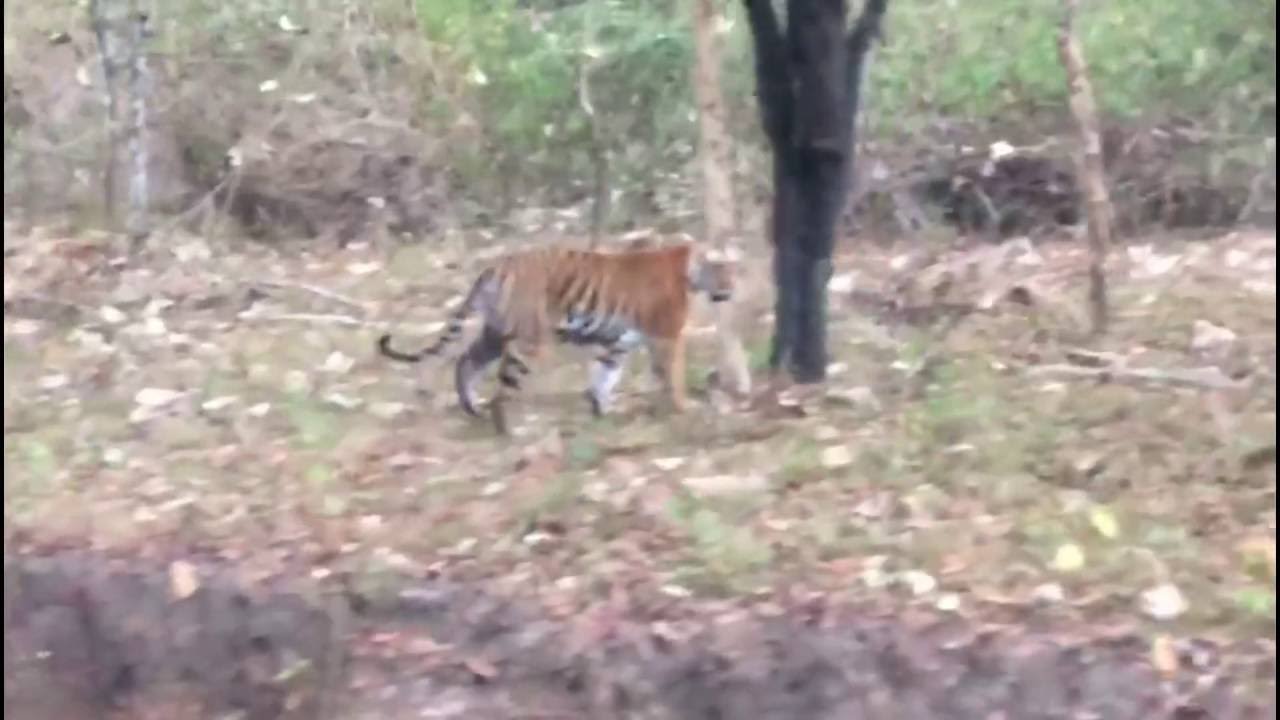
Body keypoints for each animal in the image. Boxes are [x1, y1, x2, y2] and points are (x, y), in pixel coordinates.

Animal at [377, 241, 740, 435]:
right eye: (720, 270)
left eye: (733, 271)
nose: (731, 290)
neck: (689, 273)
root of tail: (496, 266)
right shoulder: (667, 335)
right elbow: (672, 374)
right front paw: (685, 407)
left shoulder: (619, 342)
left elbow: (605, 374)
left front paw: (600, 411)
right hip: (530, 342)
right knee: (501, 390)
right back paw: (511, 431)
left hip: (495, 333)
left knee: (466, 362)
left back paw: (472, 409)